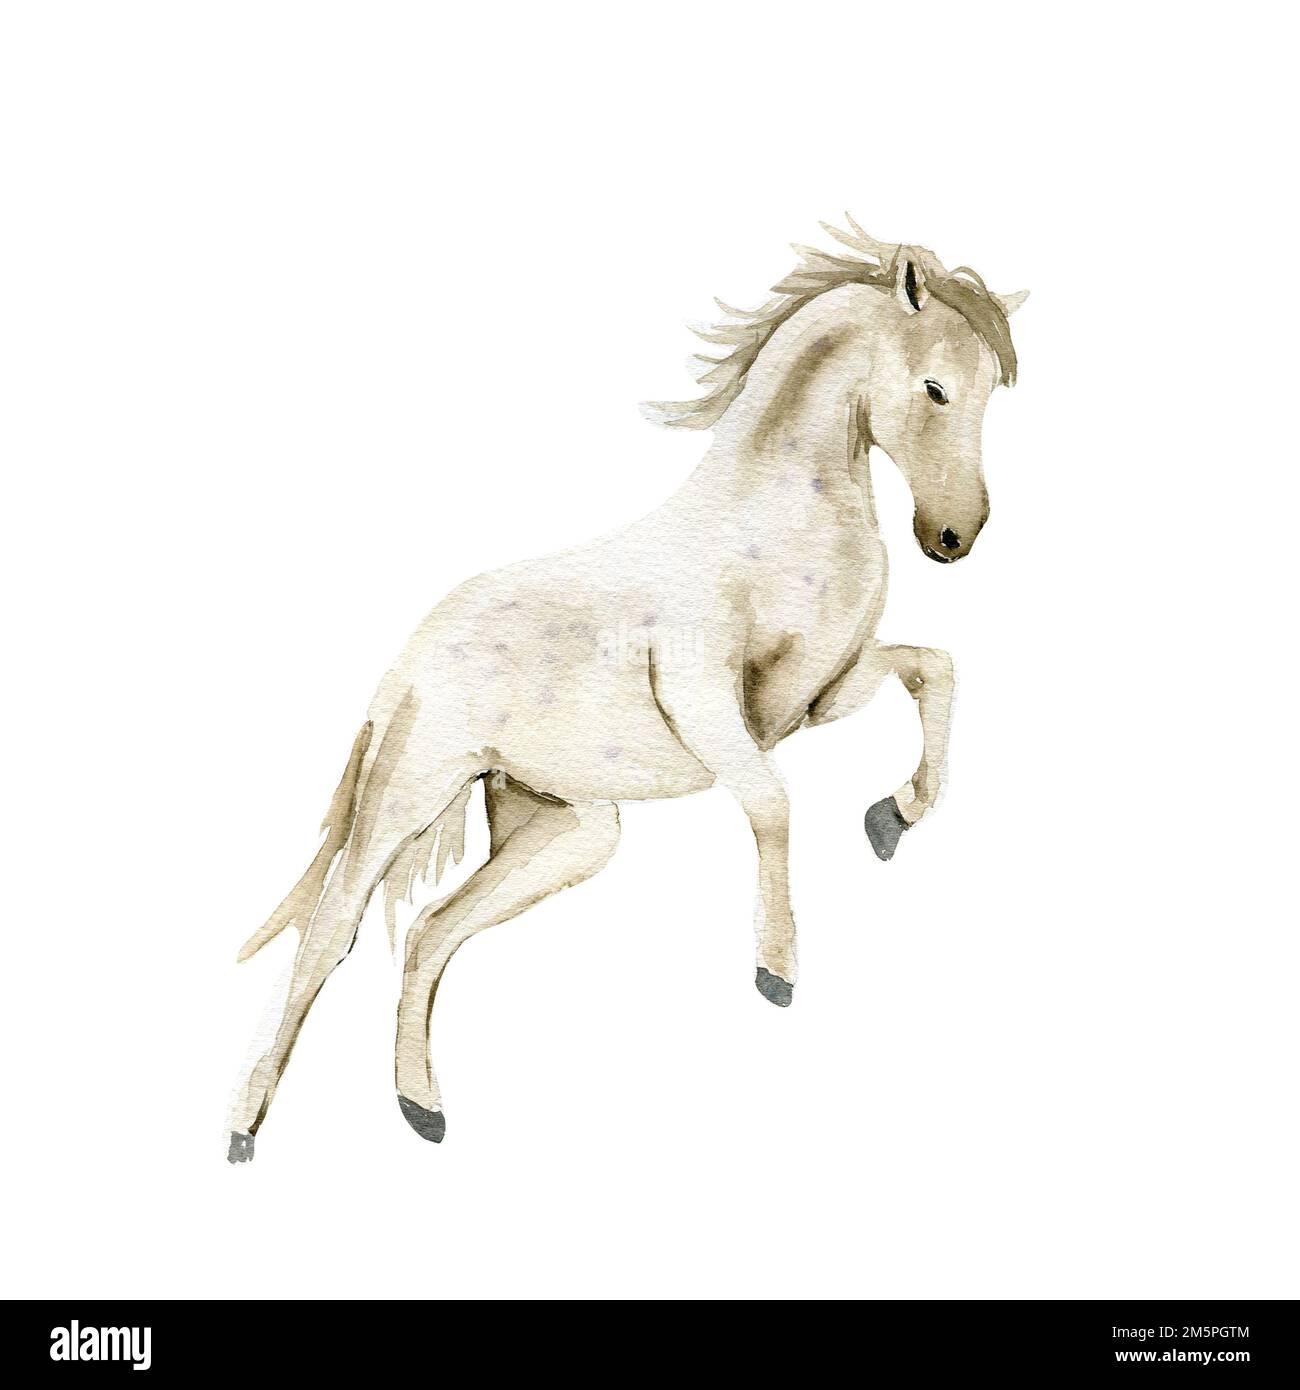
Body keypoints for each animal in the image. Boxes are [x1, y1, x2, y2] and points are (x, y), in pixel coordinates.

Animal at [227, 218, 1027, 1161]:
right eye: (937, 388)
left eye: (989, 392)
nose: (953, 537)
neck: (769, 531)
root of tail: (403, 666)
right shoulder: (709, 707)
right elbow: (772, 802)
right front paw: (777, 972)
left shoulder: (814, 697)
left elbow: (934, 668)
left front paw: (891, 819)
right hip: (407, 795)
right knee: (329, 938)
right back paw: (243, 1129)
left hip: (570, 830)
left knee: (430, 932)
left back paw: (422, 1109)